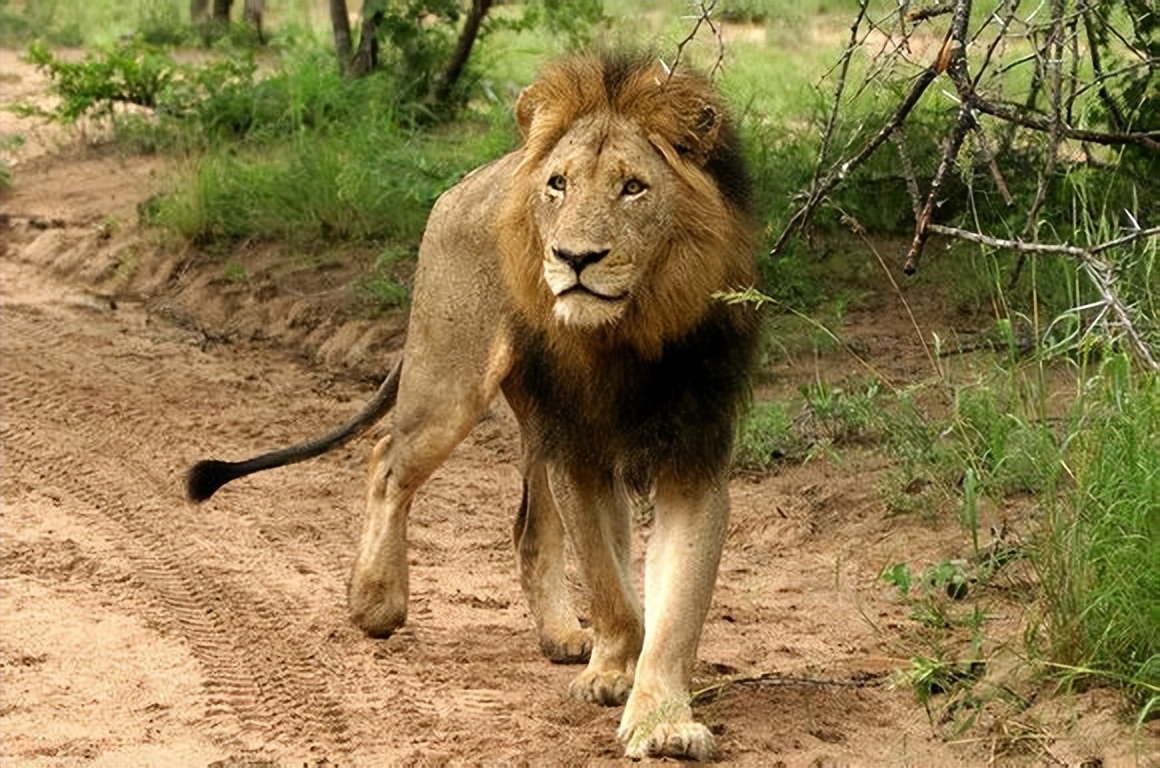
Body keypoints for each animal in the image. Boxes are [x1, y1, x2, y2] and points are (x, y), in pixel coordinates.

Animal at [187, 51, 761, 761]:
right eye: (558, 185)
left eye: (634, 188)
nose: (574, 258)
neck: (627, 335)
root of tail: (473, 177)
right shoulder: (581, 450)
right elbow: (611, 587)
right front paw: (610, 674)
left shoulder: (694, 458)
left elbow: (677, 608)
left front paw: (660, 717)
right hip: (450, 382)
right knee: (386, 458)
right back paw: (375, 602)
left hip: (537, 421)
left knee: (528, 527)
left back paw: (561, 634)